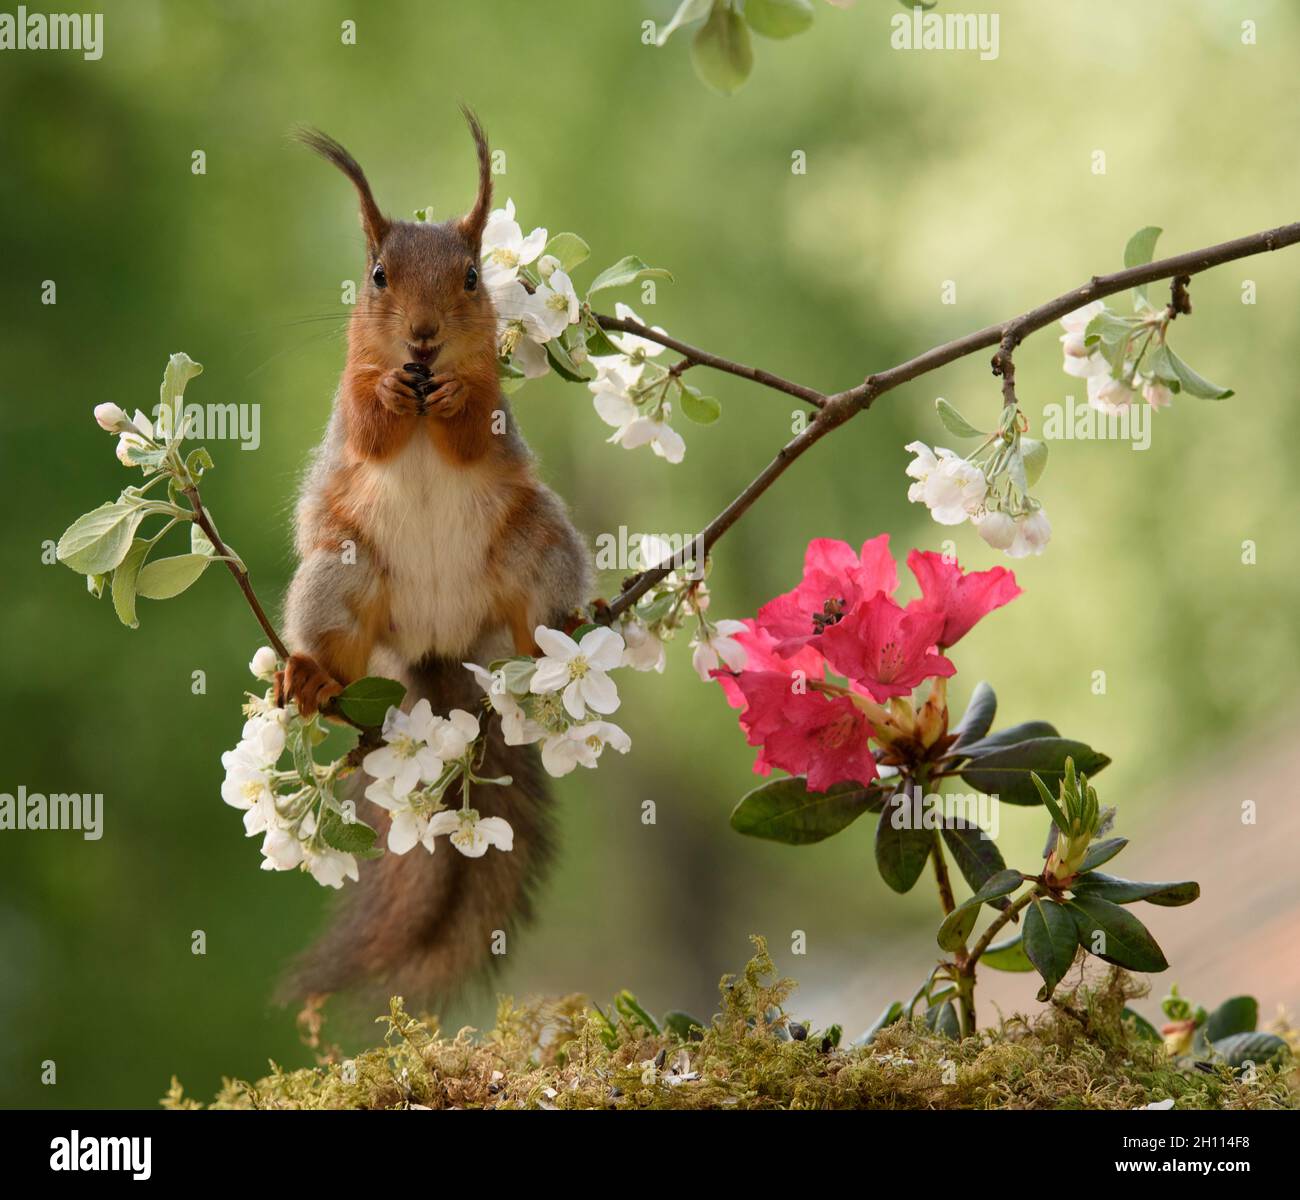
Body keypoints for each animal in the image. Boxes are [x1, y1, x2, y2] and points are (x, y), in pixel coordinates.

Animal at [274, 110, 590, 1004]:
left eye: (474, 278)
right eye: (377, 275)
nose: (423, 338)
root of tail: (437, 649)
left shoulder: (496, 410)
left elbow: (475, 424)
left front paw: (452, 398)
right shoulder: (347, 406)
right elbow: (368, 422)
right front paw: (390, 392)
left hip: (534, 544)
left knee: (534, 612)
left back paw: (558, 638)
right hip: (342, 574)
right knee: (337, 646)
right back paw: (313, 676)